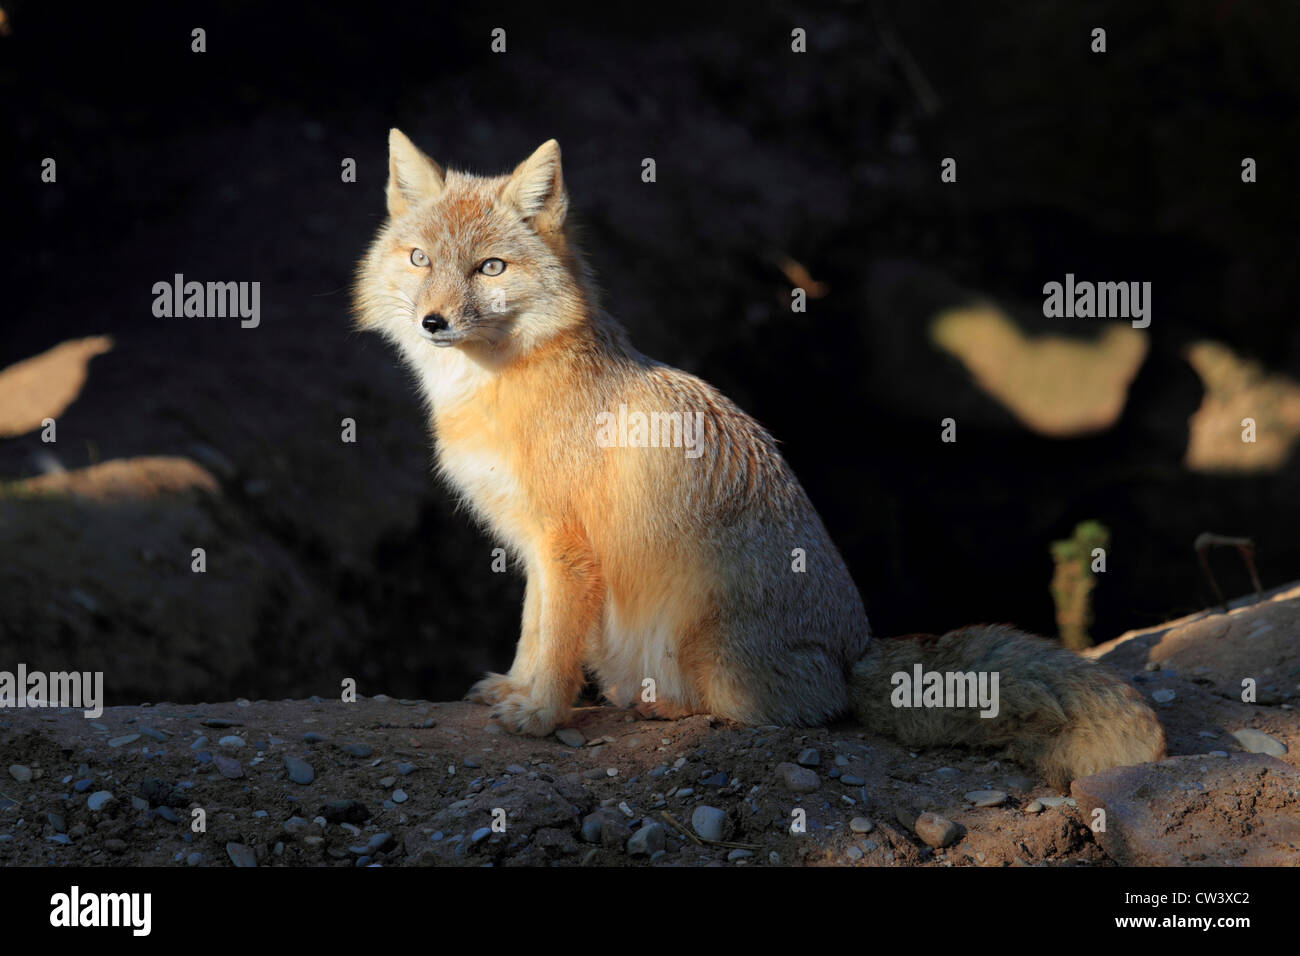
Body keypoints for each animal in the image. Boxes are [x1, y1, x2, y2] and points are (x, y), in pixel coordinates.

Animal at [353, 130, 1166, 790]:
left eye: (489, 267)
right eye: (421, 259)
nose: (433, 322)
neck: (501, 385)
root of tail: (854, 652)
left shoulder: (567, 547)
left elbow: (556, 644)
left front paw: (542, 715)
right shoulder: (533, 546)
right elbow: (533, 631)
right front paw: (515, 690)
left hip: (695, 639)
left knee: (766, 713)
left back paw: (660, 708)